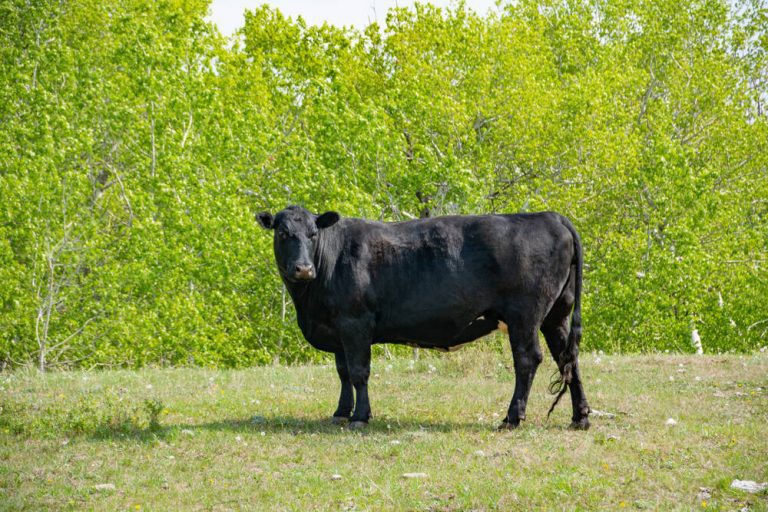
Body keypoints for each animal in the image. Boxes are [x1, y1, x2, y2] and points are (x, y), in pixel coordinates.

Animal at [256, 205, 591, 430]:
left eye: (313, 234)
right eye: (284, 233)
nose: (303, 268)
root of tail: (550, 216)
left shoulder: (355, 323)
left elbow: (359, 372)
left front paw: (360, 417)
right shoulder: (338, 328)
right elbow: (343, 372)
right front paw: (341, 412)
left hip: (525, 316)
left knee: (528, 359)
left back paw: (511, 418)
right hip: (556, 315)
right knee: (568, 358)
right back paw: (580, 417)